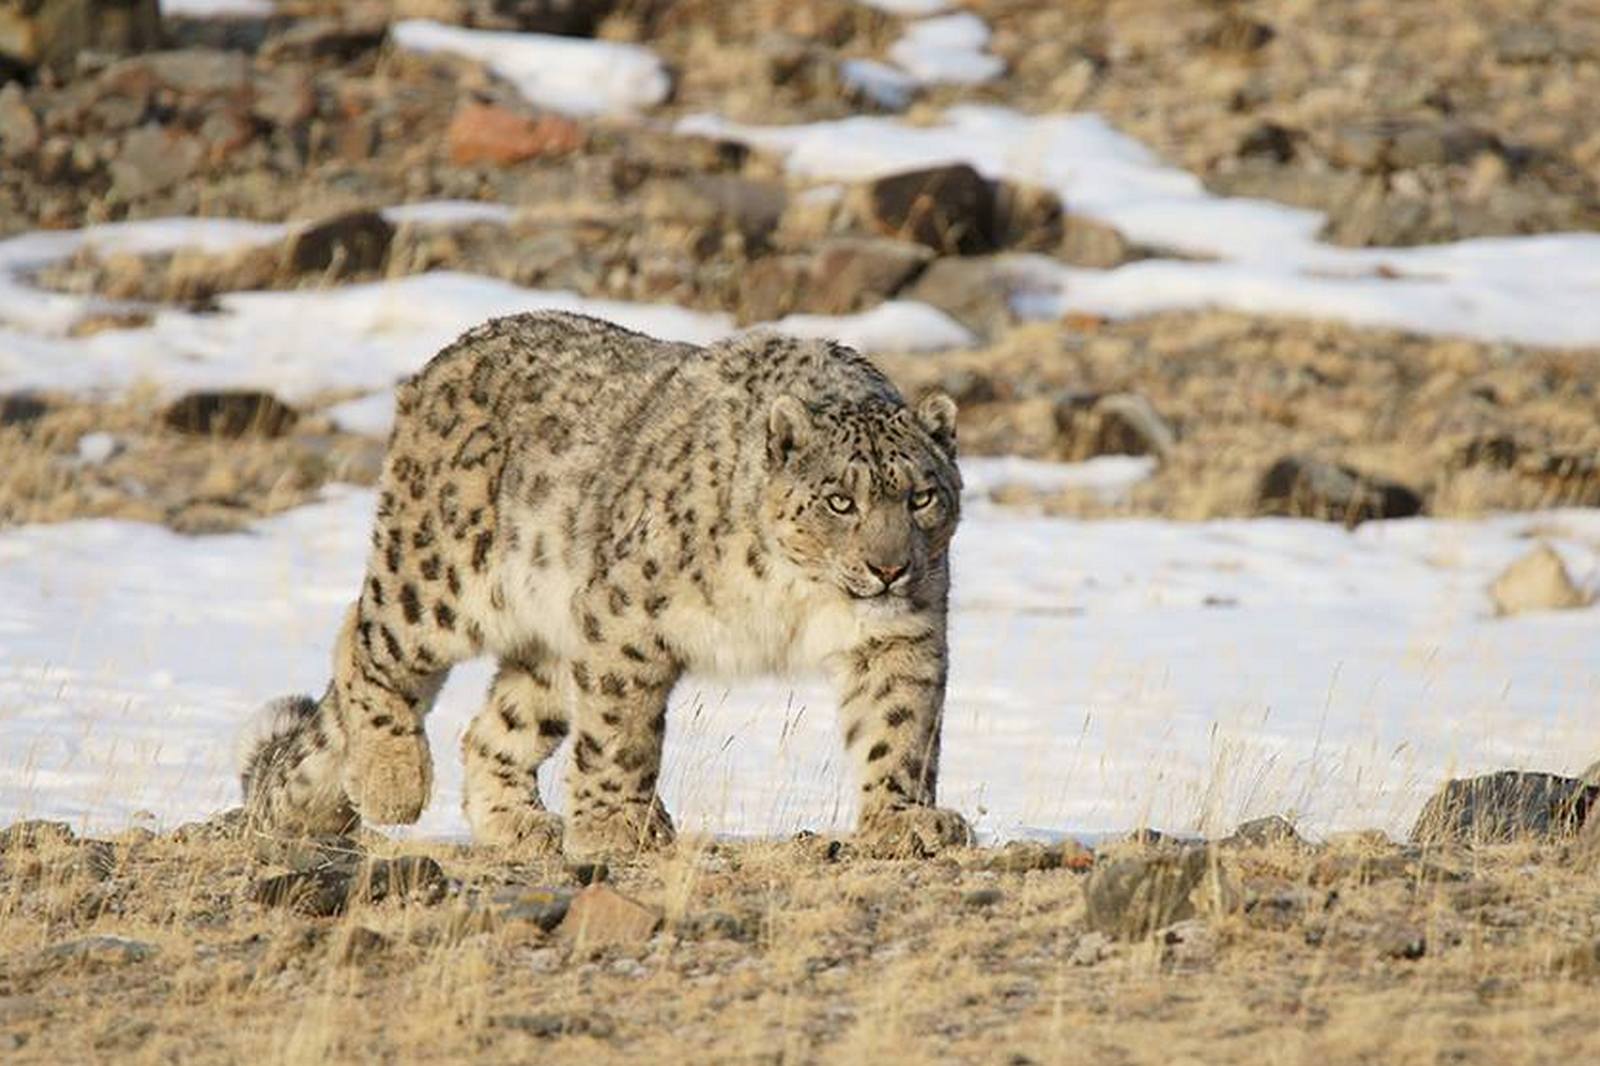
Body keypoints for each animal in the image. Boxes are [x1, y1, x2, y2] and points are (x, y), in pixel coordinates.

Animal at [237, 310, 972, 860]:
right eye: (840, 501)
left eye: (921, 496)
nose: (888, 568)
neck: (800, 597)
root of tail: (442, 361)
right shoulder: (628, 618)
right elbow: (621, 729)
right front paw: (616, 823)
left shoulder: (902, 633)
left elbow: (899, 724)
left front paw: (904, 820)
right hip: (437, 577)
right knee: (365, 640)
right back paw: (392, 781)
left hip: (555, 637)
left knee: (493, 726)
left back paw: (521, 823)